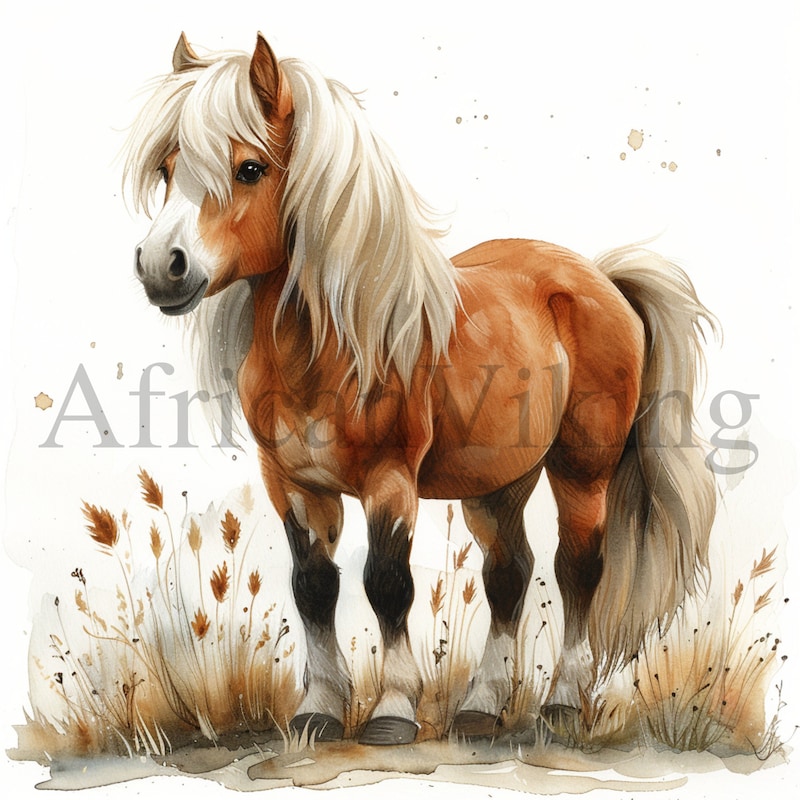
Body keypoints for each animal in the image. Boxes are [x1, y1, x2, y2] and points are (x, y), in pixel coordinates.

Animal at [125, 33, 717, 746]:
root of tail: (600, 278)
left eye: (249, 169)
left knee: (578, 569)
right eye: (166, 170)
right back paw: (482, 706)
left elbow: (387, 583)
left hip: (582, 470)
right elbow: (313, 586)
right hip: (498, 482)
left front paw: (392, 710)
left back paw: (564, 702)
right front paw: (320, 708)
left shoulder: (391, 479)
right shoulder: (293, 482)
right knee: (509, 573)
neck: (339, 345)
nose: (161, 267)